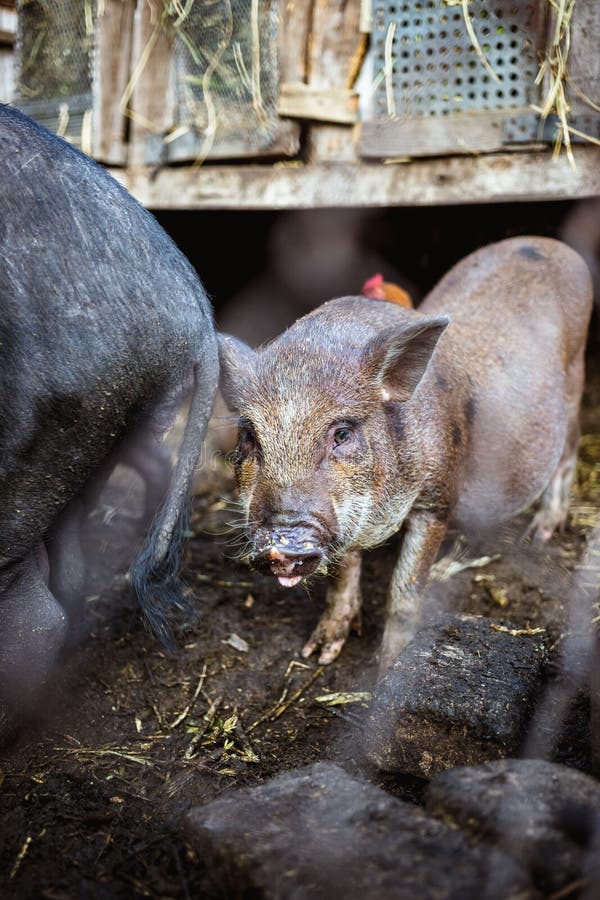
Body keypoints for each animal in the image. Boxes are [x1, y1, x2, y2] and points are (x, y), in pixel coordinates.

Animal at [218, 236, 592, 670]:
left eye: (342, 433)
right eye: (249, 435)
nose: (283, 541)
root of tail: (551, 245)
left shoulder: (438, 501)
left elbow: (405, 590)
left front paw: (390, 669)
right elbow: (342, 576)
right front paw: (320, 653)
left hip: (574, 388)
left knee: (569, 452)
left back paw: (541, 533)